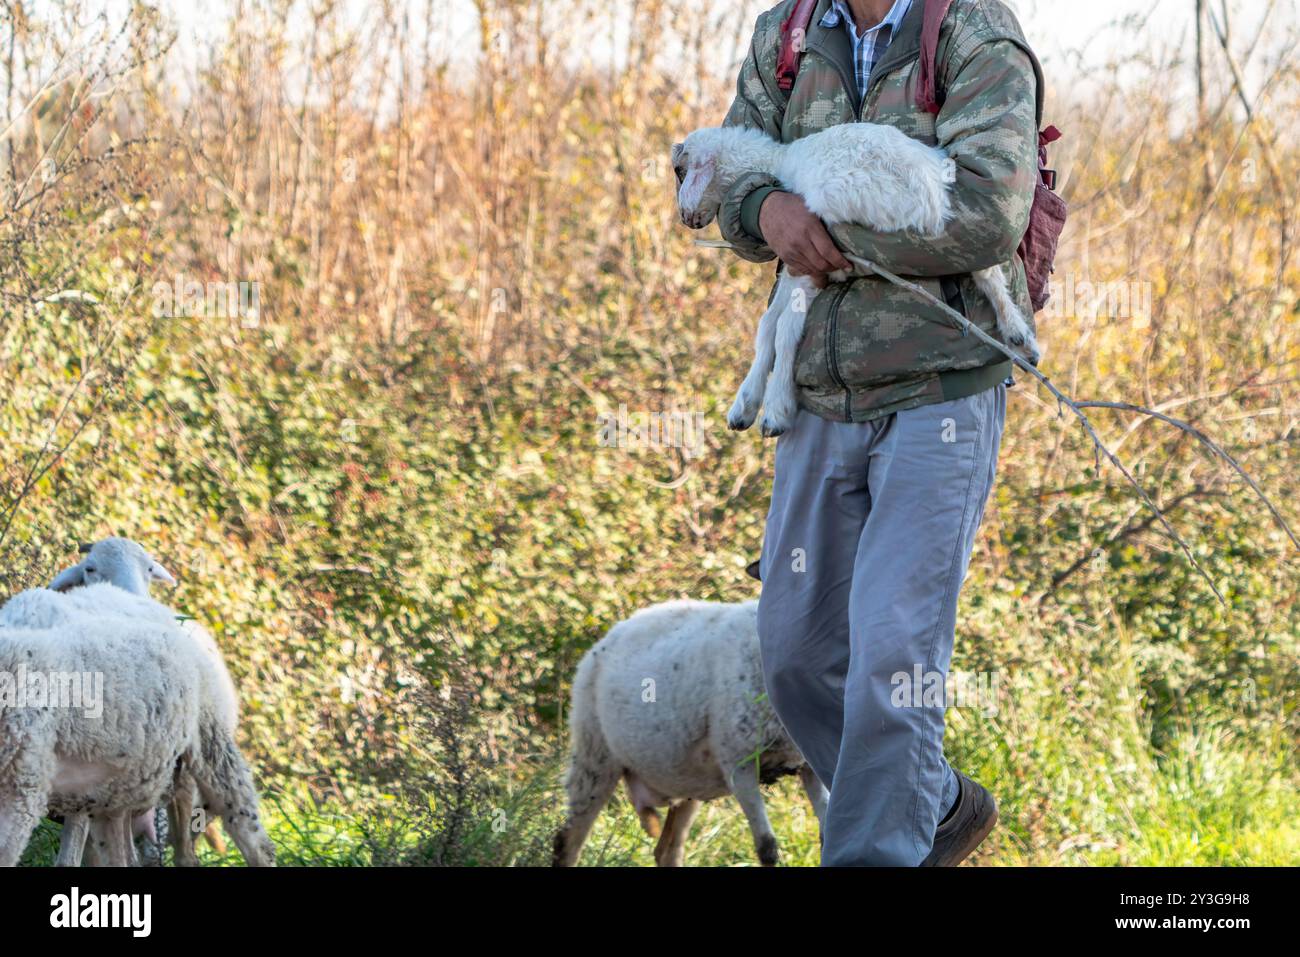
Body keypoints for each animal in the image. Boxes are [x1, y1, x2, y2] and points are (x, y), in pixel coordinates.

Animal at [0, 539, 273, 867]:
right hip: (116, 786)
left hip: (209, 744)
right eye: (89, 568)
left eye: (151, 568)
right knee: (121, 852)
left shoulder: (23, 790)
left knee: (246, 833)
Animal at [553, 600, 828, 867]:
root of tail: (605, 639)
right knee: (567, 841)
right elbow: (767, 849)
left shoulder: (811, 766)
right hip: (594, 754)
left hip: (686, 782)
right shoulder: (738, 762)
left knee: (666, 852)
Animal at [673, 123, 1039, 437]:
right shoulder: (791, 266)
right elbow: (767, 326)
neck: (779, 163)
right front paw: (744, 406)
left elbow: (785, 331)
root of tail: (931, 196)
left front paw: (776, 411)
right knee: (982, 264)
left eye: (680, 171)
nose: (686, 218)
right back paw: (1020, 337)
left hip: (848, 214)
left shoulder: (805, 258)